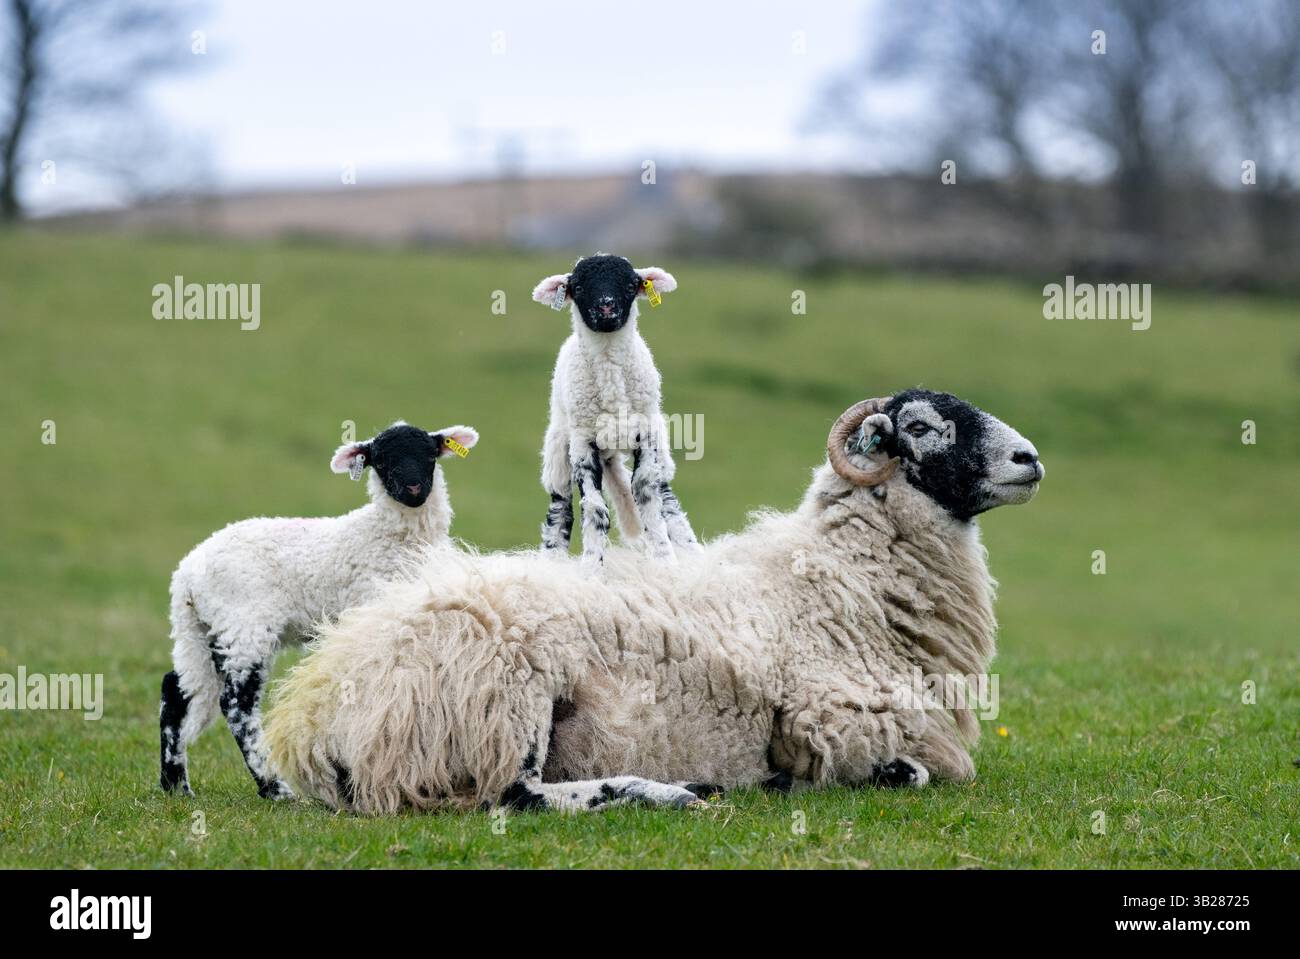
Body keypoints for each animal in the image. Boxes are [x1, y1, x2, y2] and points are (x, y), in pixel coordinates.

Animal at [159, 421, 479, 799]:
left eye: (431, 455)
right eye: (381, 461)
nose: (414, 488)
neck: (386, 537)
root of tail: (186, 575)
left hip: (200, 632)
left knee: (177, 691)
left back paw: (176, 785)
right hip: (244, 624)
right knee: (236, 704)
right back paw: (275, 788)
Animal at [264, 389, 1044, 814]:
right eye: (920, 426)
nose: (1030, 459)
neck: (838, 579)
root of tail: (317, 708)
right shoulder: (827, 716)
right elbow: (924, 768)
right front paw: (819, 777)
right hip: (504, 696)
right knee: (513, 795)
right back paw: (668, 791)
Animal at [531, 253, 700, 569]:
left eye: (632, 284)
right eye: (578, 287)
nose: (606, 306)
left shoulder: (646, 435)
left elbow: (648, 495)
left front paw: (664, 559)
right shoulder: (583, 443)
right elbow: (594, 508)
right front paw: (591, 568)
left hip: (658, 445)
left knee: (669, 501)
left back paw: (692, 551)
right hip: (559, 446)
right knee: (560, 509)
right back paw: (552, 562)